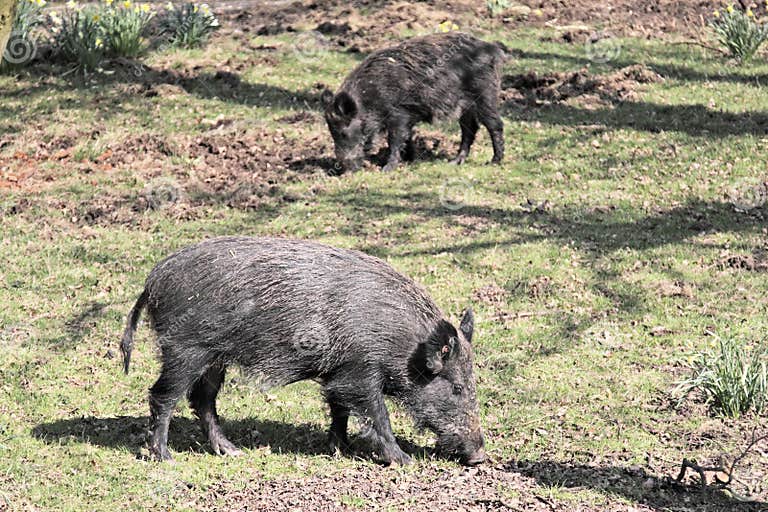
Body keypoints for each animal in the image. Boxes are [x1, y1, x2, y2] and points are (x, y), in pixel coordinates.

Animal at [120, 237, 485, 466]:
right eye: (456, 387)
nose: (480, 455)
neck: (402, 342)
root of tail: (152, 281)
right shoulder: (360, 371)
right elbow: (376, 415)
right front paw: (403, 461)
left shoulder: (339, 374)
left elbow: (338, 408)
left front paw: (340, 449)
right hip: (185, 350)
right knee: (163, 396)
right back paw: (165, 457)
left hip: (214, 359)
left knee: (202, 400)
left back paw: (231, 451)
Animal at [323, 32, 507, 173]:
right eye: (331, 132)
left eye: (343, 133)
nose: (343, 170)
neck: (369, 100)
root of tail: (492, 49)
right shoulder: (408, 116)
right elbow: (407, 137)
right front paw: (411, 160)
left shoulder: (399, 114)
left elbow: (395, 139)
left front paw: (386, 169)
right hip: (465, 107)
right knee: (470, 129)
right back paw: (454, 162)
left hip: (485, 96)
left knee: (495, 125)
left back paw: (494, 162)